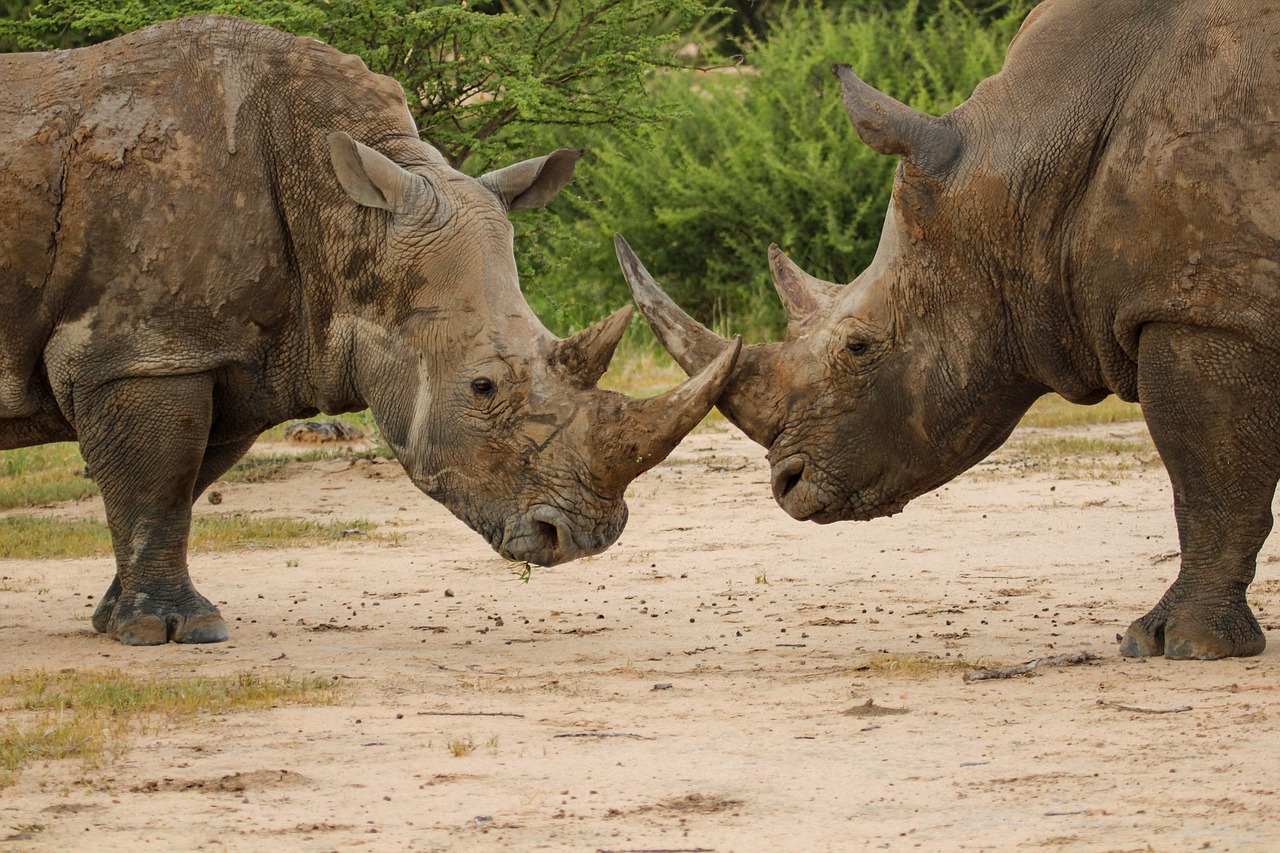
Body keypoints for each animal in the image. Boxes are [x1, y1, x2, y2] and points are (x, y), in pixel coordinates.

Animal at [0, 15, 740, 646]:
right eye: (483, 386)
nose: (584, 537)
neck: (345, 218)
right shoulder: (142, 350)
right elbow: (158, 486)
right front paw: (179, 630)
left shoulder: (230, 354)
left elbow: (179, 481)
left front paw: (112, 619)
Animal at [617, 0, 1279, 660]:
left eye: (858, 346)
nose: (787, 484)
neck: (1024, 175)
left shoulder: (1202, 310)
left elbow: (1208, 479)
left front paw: (1176, 644)